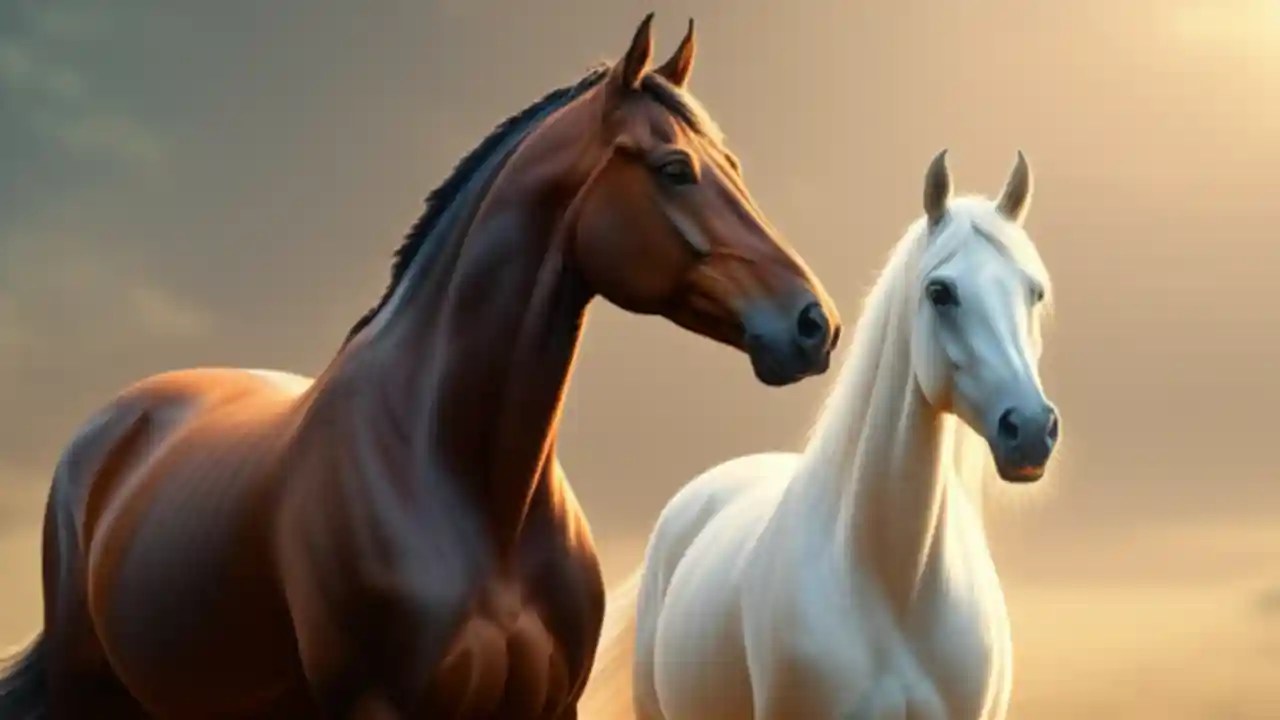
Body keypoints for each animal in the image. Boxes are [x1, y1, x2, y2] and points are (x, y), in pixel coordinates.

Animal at [0, 15, 842, 719]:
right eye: (674, 168)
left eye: (732, 164)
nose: (814, 324)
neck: (471, 488)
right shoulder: (378, 706)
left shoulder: (548, 706)